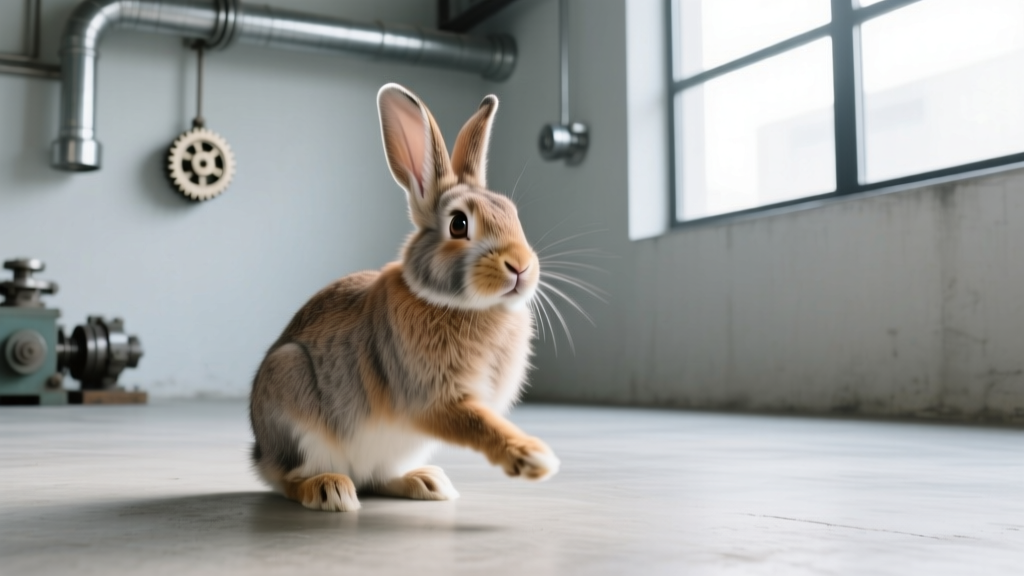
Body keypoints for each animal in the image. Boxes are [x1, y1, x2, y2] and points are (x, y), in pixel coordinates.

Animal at [249, 83, 560, 512]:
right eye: (459, 224)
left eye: (513, 215)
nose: (521, 267)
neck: (458, 305)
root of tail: (260, 454)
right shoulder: (433, 397)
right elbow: (479, 423)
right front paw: (533, 457)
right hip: (292, 398)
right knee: (290, 480)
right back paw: (330, 490)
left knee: (379, 478)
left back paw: (427, 482)